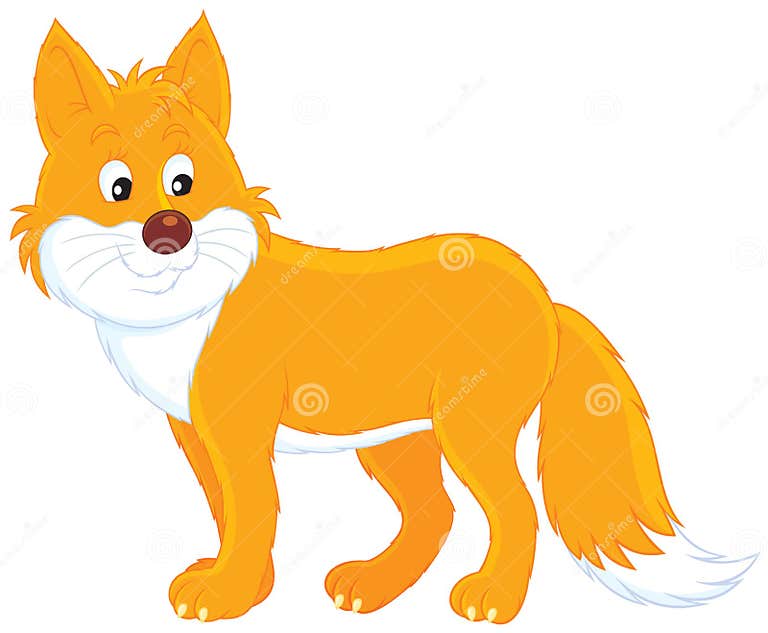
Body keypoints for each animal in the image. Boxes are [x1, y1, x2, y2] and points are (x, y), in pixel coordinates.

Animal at [11, 12, 756, 625]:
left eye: (182, 183)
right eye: (117, 188)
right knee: (438, 515)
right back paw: (372, 587)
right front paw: (247, 588)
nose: (169, 230)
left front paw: (226, 598)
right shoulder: (195, 431)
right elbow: (228, 514)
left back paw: (493, 599)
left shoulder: (241, 430)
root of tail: (546, 297)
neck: (185, 314)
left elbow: (253, 513)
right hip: (396, 436)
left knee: (515, 512)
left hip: (468, 431)